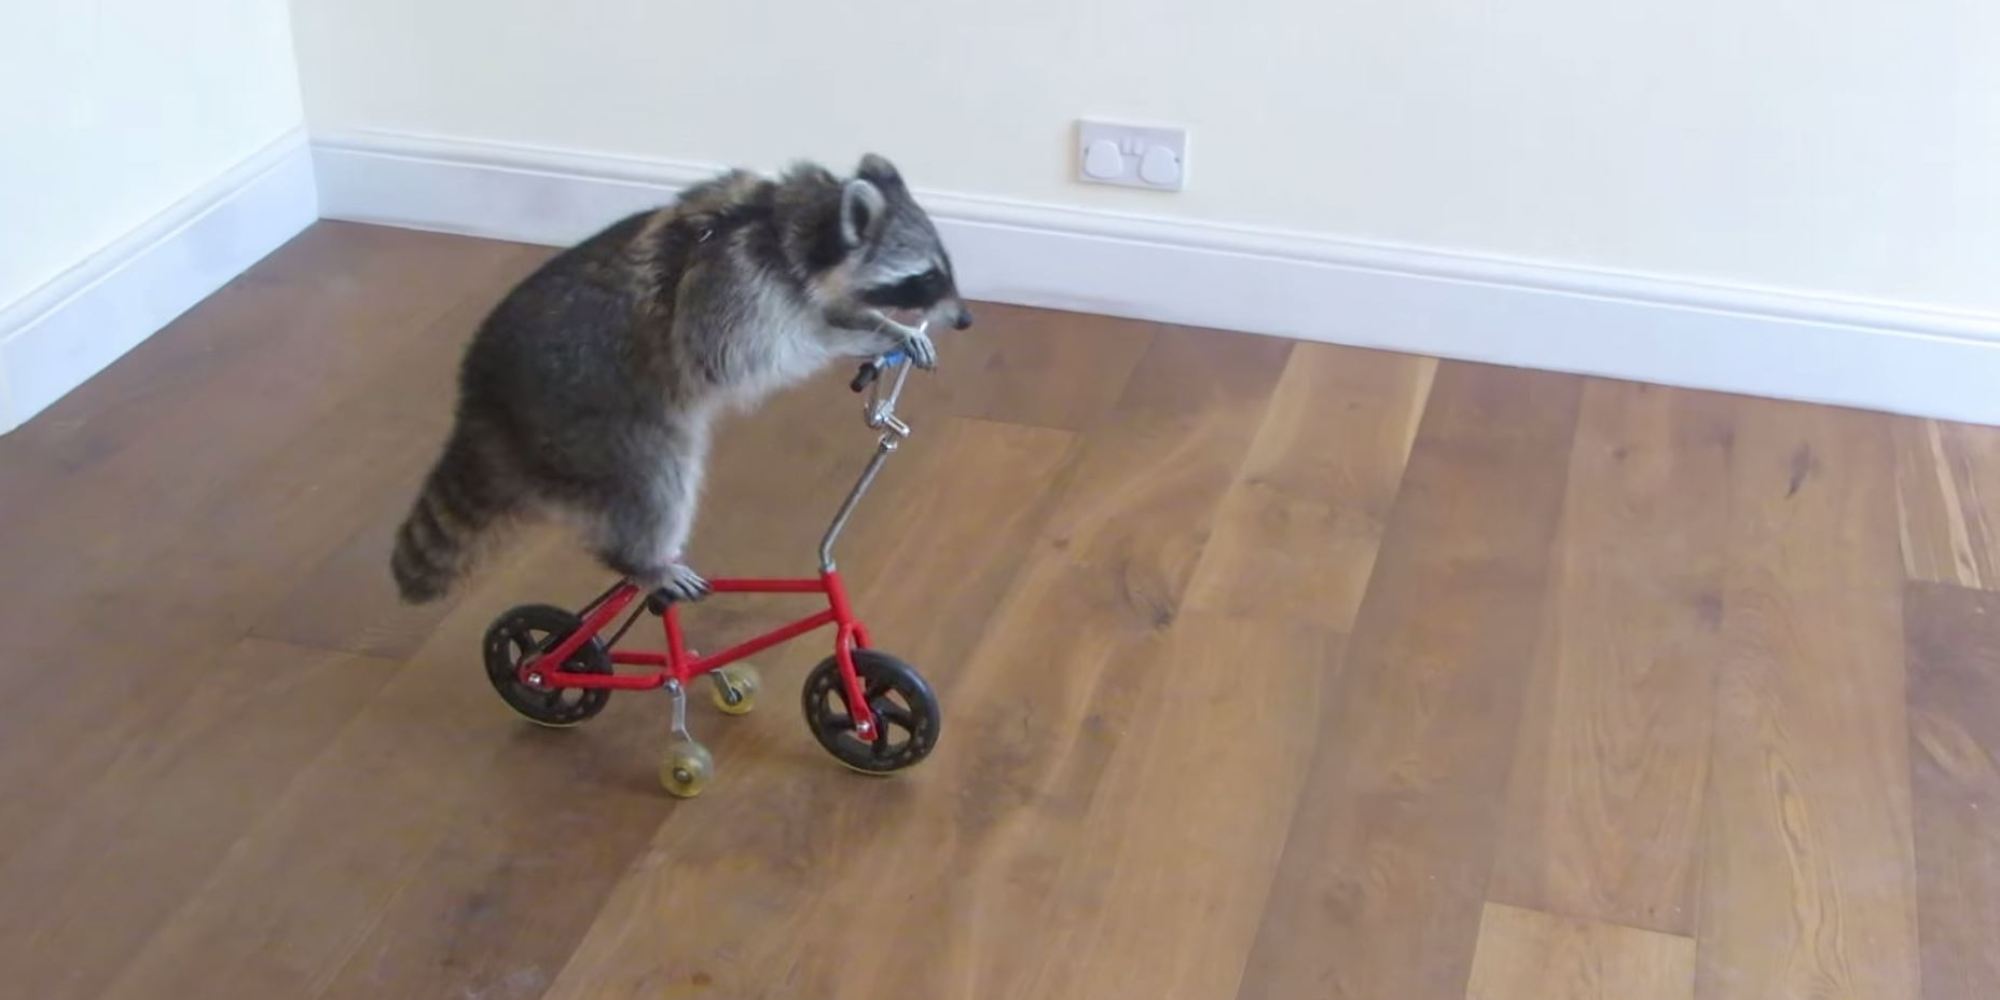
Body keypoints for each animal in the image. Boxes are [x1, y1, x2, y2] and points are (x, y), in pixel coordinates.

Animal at [390, 154, 972, 605]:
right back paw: (643, 561)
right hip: (592, 426)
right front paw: (856, 337)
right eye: (927, 277)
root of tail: (481, 402)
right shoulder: (736, 288)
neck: (789, 225)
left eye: (946, 267)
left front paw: (884, 323)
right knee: (656, 480)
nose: (966, 319)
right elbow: (746, 354)